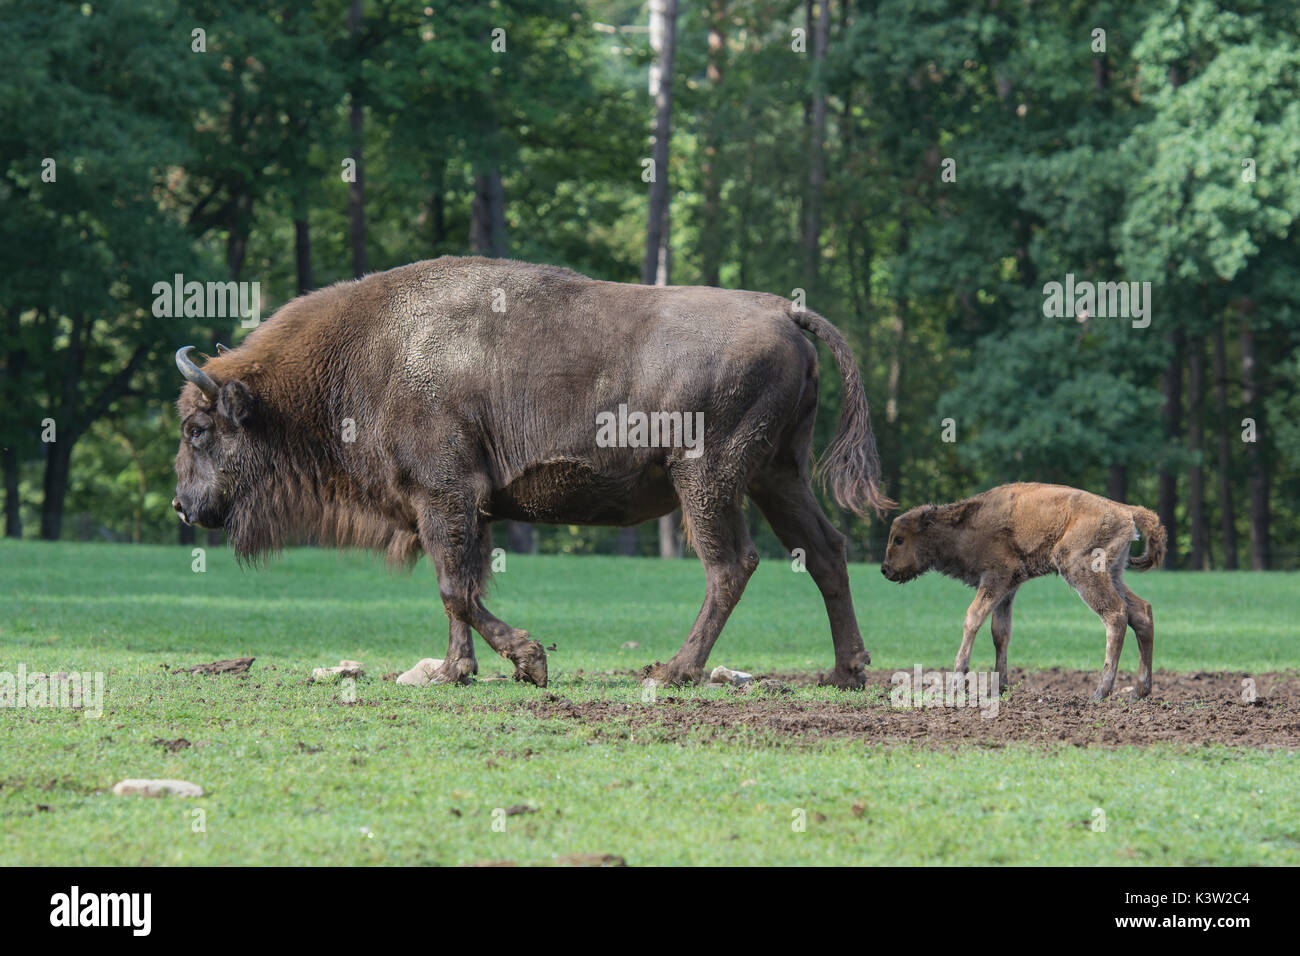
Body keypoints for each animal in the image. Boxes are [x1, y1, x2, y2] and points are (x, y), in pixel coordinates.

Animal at [172, 257, 892, 689]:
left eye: (197, 430)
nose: (182, 505)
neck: (367, 353)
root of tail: (782, 310)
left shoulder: (445, 497)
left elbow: (456, 587)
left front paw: (528, 662)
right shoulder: (462, 510)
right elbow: (458, 587)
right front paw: (457, 671)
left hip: (708, 479)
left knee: (731, 565)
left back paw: (674, 670)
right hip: (778, 474)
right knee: (825, 551)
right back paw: (845, 671)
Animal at [880, 482, 1166, 701]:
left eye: (899, 539)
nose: (885, 569)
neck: (966, 522)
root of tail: (1125, 510)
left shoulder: (996, 578)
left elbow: (973, 618)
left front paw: (958, 679)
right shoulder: (1008, 590)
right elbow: (1000, 633)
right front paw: (998, 687)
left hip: (1081, 570)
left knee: (1116, 615)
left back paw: (1100, 692)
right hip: (1113, 573)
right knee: (1141, 612)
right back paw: (1138, 692)